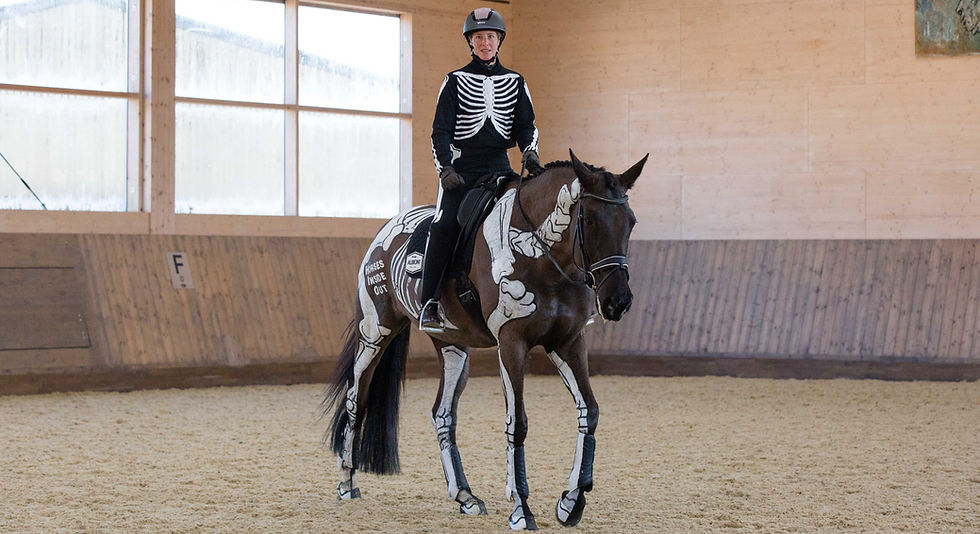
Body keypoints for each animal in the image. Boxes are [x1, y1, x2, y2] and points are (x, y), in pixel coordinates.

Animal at [323, 149, 648, 530]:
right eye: (591, 220)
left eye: (630, 222)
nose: (618, 301)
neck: (540, 254)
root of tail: (385, 232)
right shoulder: (511, 342)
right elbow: (517, 423)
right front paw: (521, 508)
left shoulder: (568, 342)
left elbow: (589, 411)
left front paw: (571, 501)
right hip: (376, 332)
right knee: (355, 398)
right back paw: (347, 483)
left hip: (453, 346)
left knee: (442, 413)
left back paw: (465, 496)